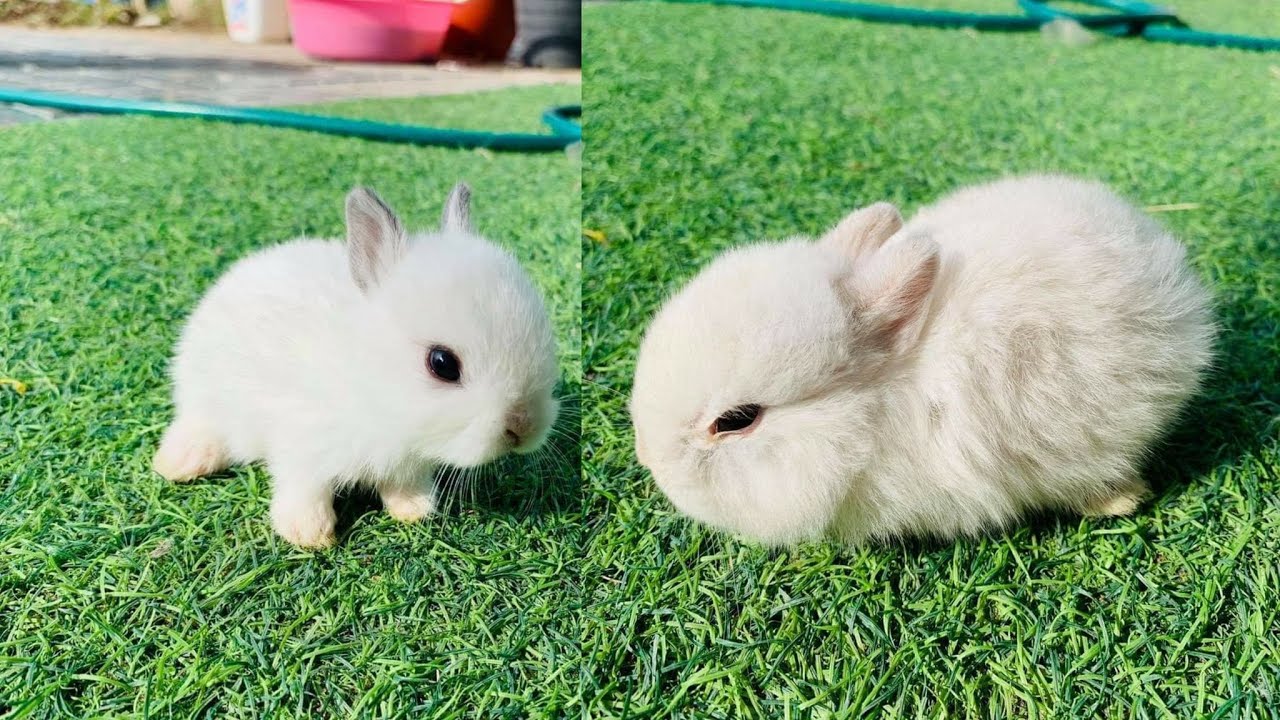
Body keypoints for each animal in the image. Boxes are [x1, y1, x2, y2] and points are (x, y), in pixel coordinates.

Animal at [153, 184, 559, 548]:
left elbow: (401, 484)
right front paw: (309, 535)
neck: (370, 381)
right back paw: (177, 464)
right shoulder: (301, 443)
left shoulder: (405, 463)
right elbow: (303, 487)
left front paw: (414, 510)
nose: (523, 427)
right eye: (442, 363)